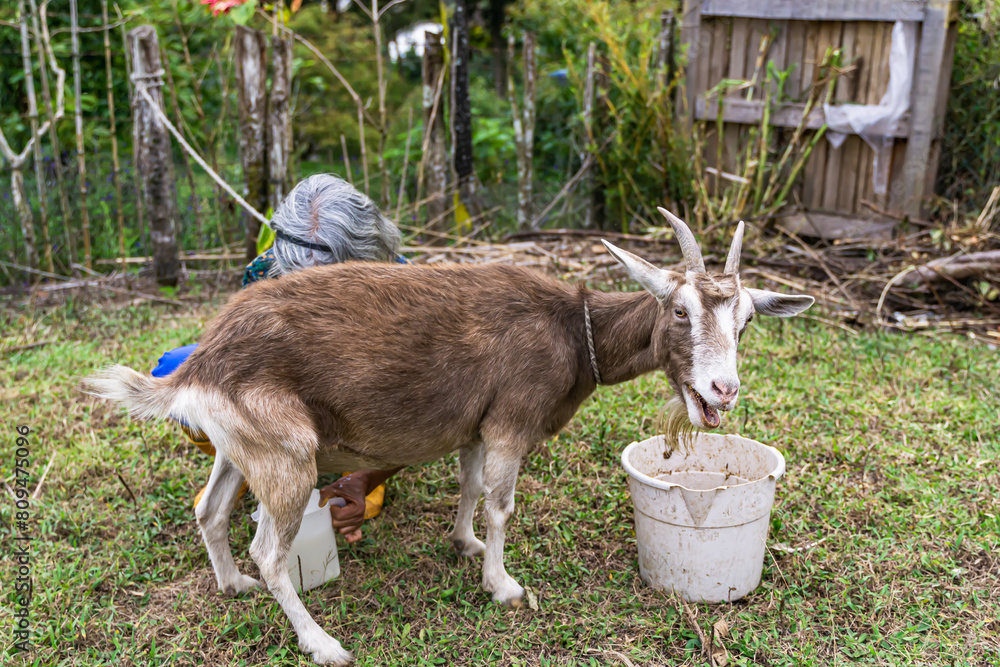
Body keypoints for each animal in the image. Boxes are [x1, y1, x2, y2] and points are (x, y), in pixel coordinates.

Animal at [86, 209, 813, 665]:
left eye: (747, 320)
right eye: (680, 310)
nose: (723, 390)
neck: (571, 330)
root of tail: (200, 364)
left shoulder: (477, 424)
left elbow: (468, 487)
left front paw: (464, 545)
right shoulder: (512, 419)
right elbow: (502, 505)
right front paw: (503, 584)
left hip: (242, 447)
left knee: (209, 511)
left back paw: (232, 584)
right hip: (287, 452)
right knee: (270, 550)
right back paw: (321, 643)